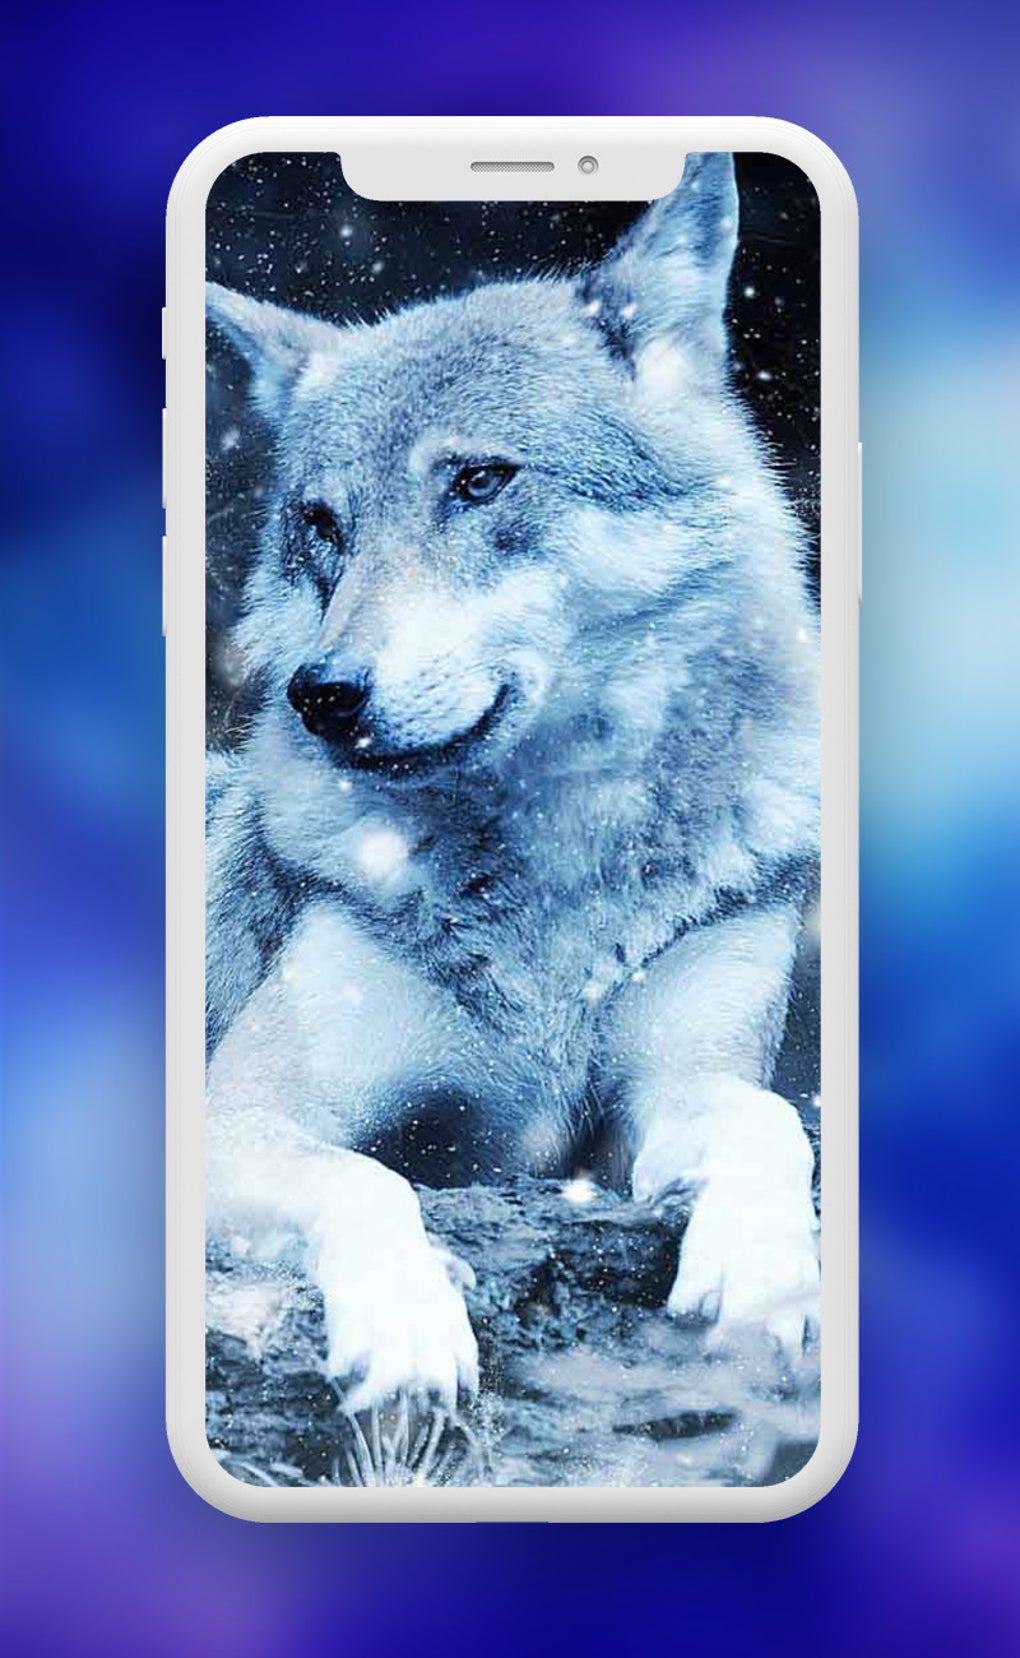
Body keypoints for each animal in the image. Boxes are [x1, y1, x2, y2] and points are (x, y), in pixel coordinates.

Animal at [205, 153, 820, 1414]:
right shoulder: (233, 1116)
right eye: (322, 524)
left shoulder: (650, 1115)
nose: (321, 691)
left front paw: (761, 1268)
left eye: (480, 481)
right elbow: (368, 1182)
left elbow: (772, 1116)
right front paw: (406, 1328)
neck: (554, 884)